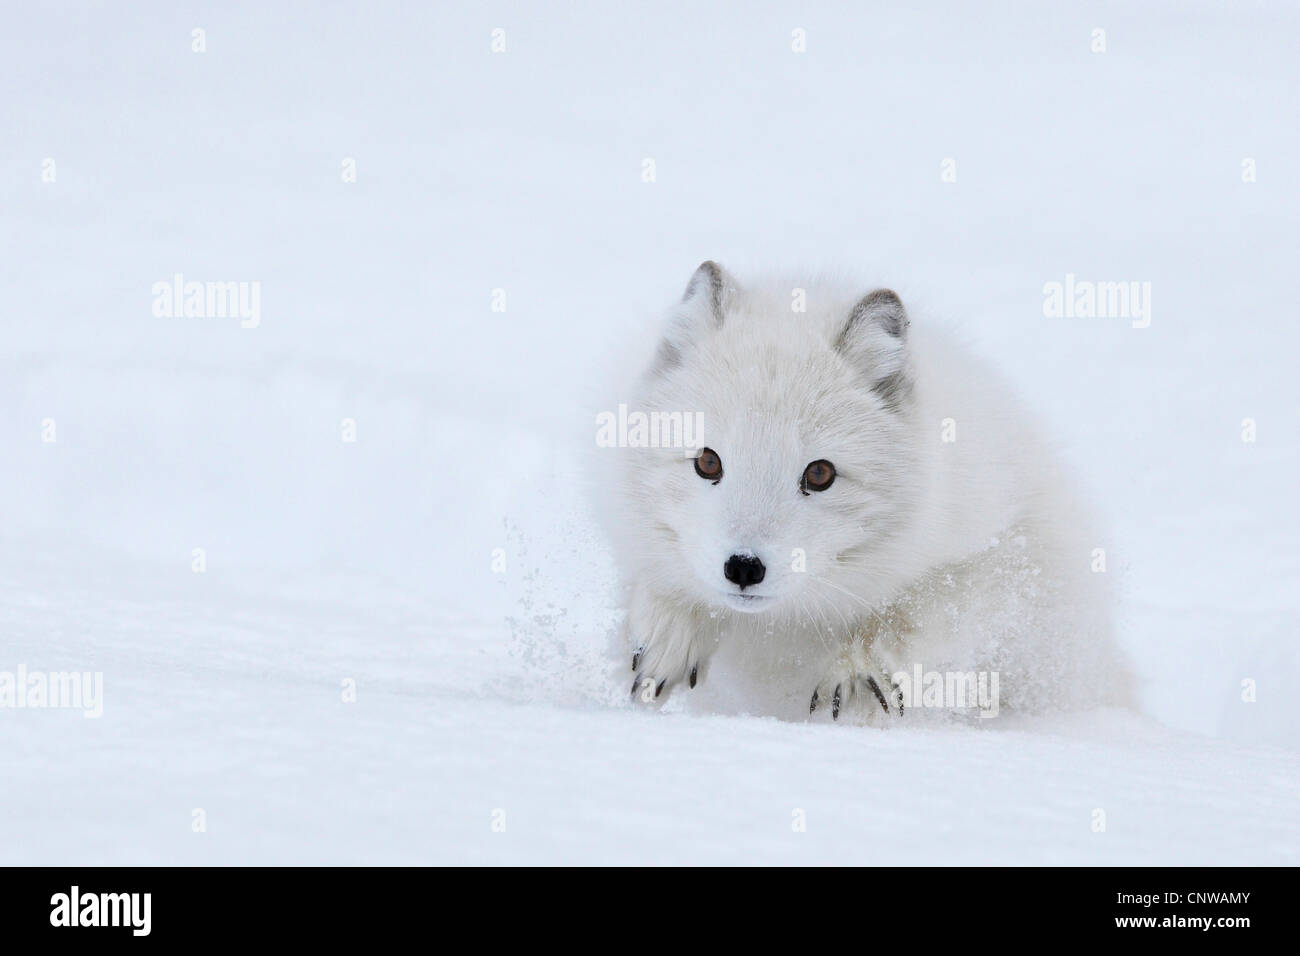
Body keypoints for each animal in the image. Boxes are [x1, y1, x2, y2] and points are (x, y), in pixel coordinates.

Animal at [606, 262, 1134, 724]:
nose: (743, 568)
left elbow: (912, 608)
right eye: (708, 462)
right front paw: (666, 636)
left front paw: (857, 674)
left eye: (820, 474)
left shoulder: (1009, 558)